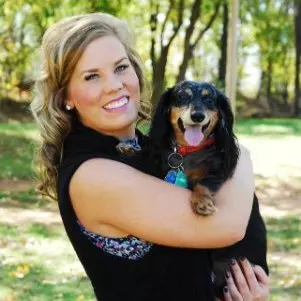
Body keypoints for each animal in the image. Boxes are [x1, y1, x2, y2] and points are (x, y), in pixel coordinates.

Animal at [148, 80, 268, 298]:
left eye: (209, 100)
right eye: (183, 96)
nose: (198, 116)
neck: (188, 151)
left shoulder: (217, 172)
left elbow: (202, 184)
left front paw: (202, 203)